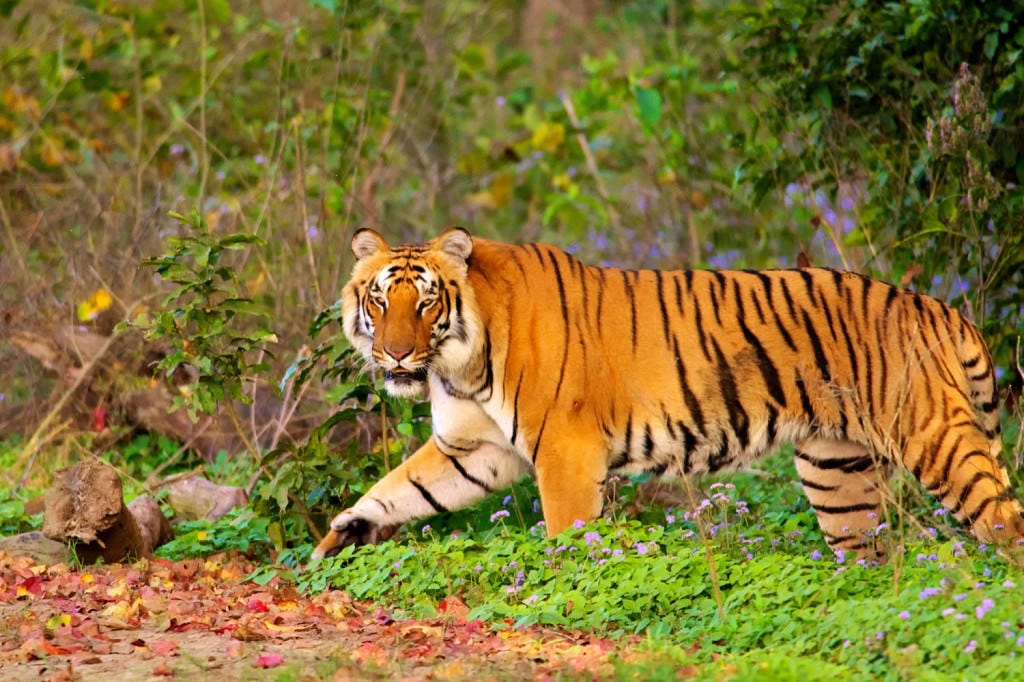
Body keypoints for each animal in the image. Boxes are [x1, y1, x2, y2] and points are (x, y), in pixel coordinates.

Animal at [310, 227, 1024, 561]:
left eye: (426, 301)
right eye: (380, 299)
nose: (396, 354)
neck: (462, 363)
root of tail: (940, 308)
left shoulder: (564, 452)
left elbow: (568, 535)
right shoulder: (474, 449)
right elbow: (400, 489)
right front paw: (340, 537)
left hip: (934, 438)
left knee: (1003, 519)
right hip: (837, 473)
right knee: (867, 550)